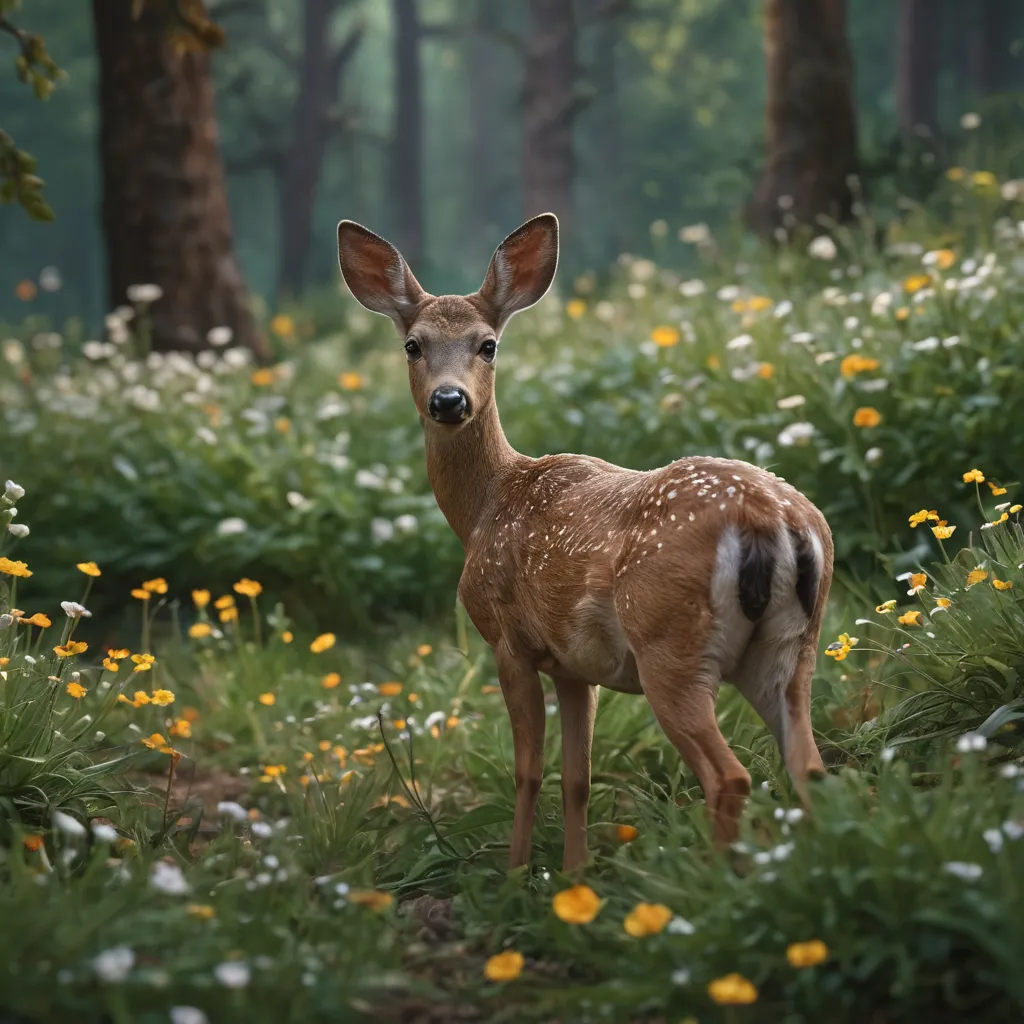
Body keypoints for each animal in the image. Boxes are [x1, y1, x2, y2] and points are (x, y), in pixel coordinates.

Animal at [337, 213, 833, 873]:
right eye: (412, 344)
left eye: (487, 344)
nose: (449, 400)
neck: (485, 506)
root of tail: (768, 517)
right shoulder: (575, 665)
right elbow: (578, 777)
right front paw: (574, 875)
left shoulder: (509, 641)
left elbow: (528, 772)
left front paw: (515, 874)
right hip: (792, 648)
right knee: (810, 766)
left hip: (670, 645)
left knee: (730, 776)